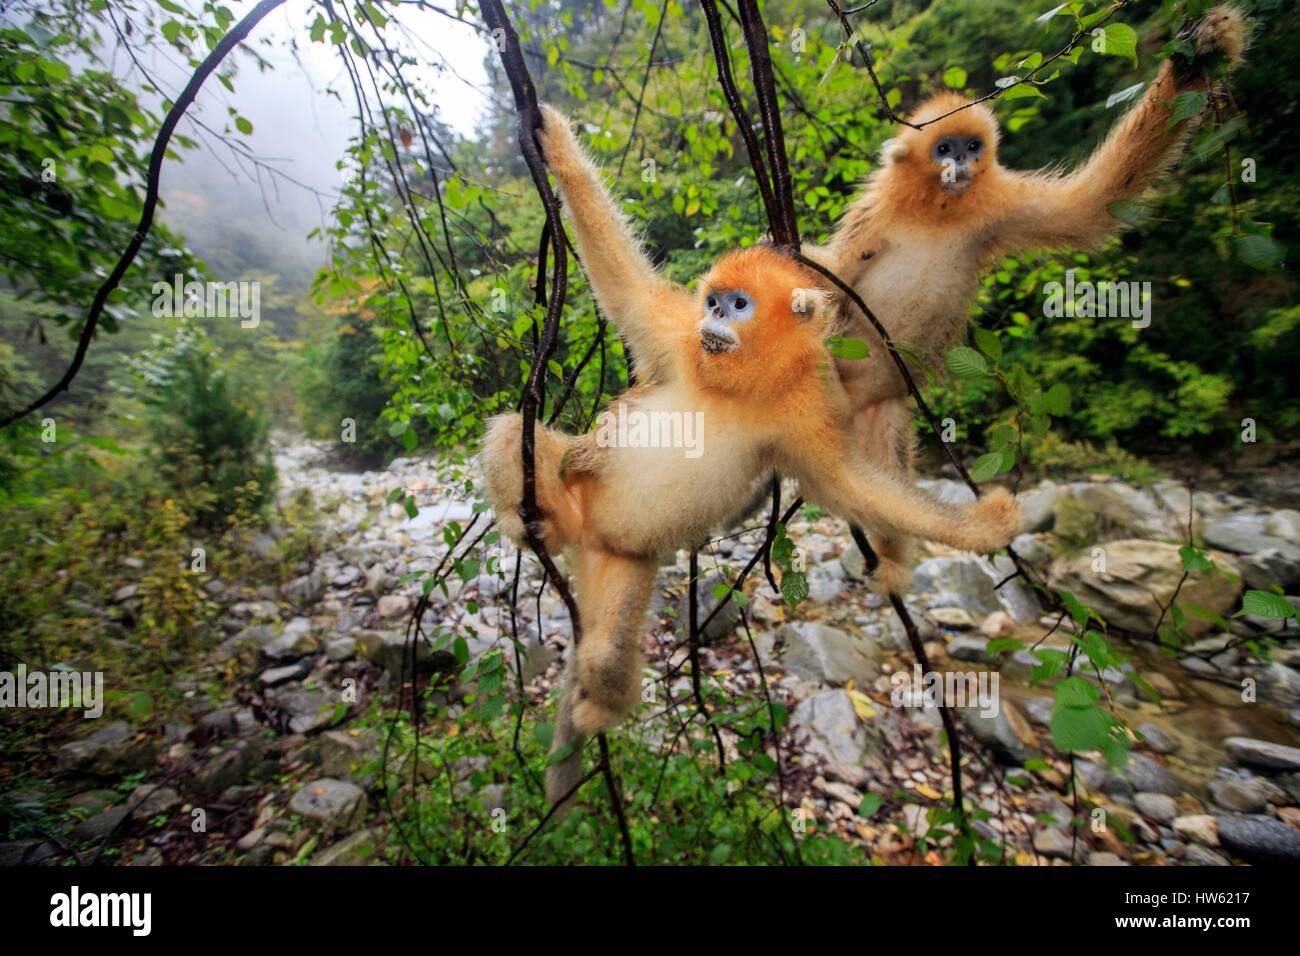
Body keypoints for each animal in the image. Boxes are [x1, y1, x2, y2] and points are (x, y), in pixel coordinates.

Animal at [481, 104, 1024, 807]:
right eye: (713, 302)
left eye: (738, 305)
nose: (715, 320)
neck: (741, 383)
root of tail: (582, 536)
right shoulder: (679, 337)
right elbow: (626, 289)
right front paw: (558, 146)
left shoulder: (806, 407)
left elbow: (845, 483)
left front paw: (979, 528)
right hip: (570, 492)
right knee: (511, 432)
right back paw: (525, 525)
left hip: (622, 563)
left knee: (606, 652)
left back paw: (599, 704)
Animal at [803, 6, 1249, 594]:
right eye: (943, 148)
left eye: (971, 147)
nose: (961, 163)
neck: (936, 209)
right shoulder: (874, 218)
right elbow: (833, 272)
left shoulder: (995, 207)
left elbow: (1090, 208)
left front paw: (1201, 54)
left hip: (879, 413)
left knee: (885, 483)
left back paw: (896, 563)